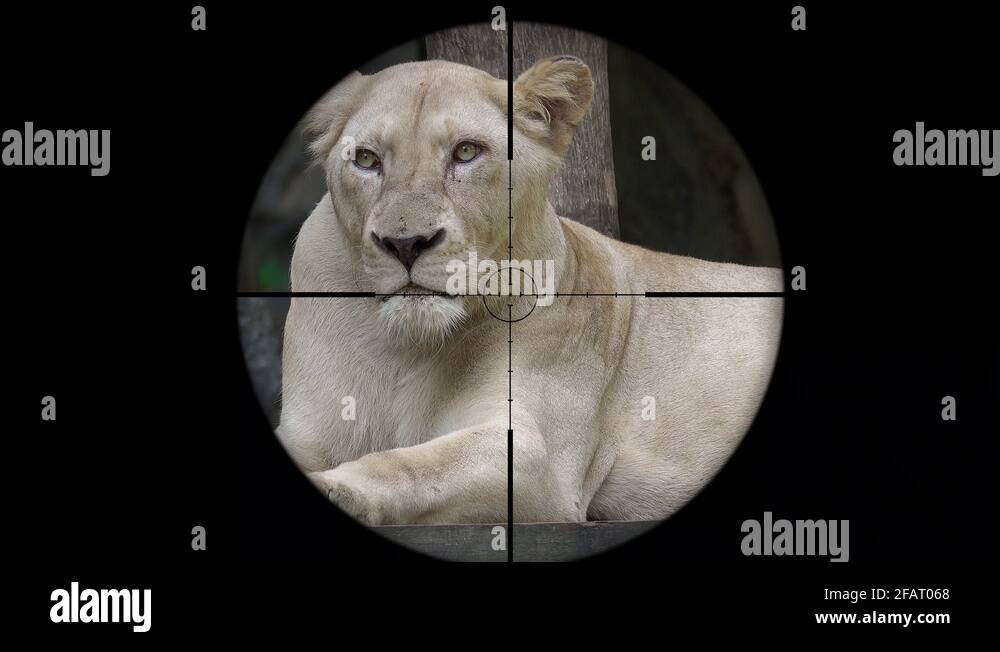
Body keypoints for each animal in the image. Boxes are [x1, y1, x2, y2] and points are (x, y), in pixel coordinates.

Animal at [276, 56, 783, 525]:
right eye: (366, 159)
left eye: (466, 152)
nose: (406, 244)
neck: (406, 348)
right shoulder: (307, 429)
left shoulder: (542, 465)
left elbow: (413, 465)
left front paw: (341, 488)